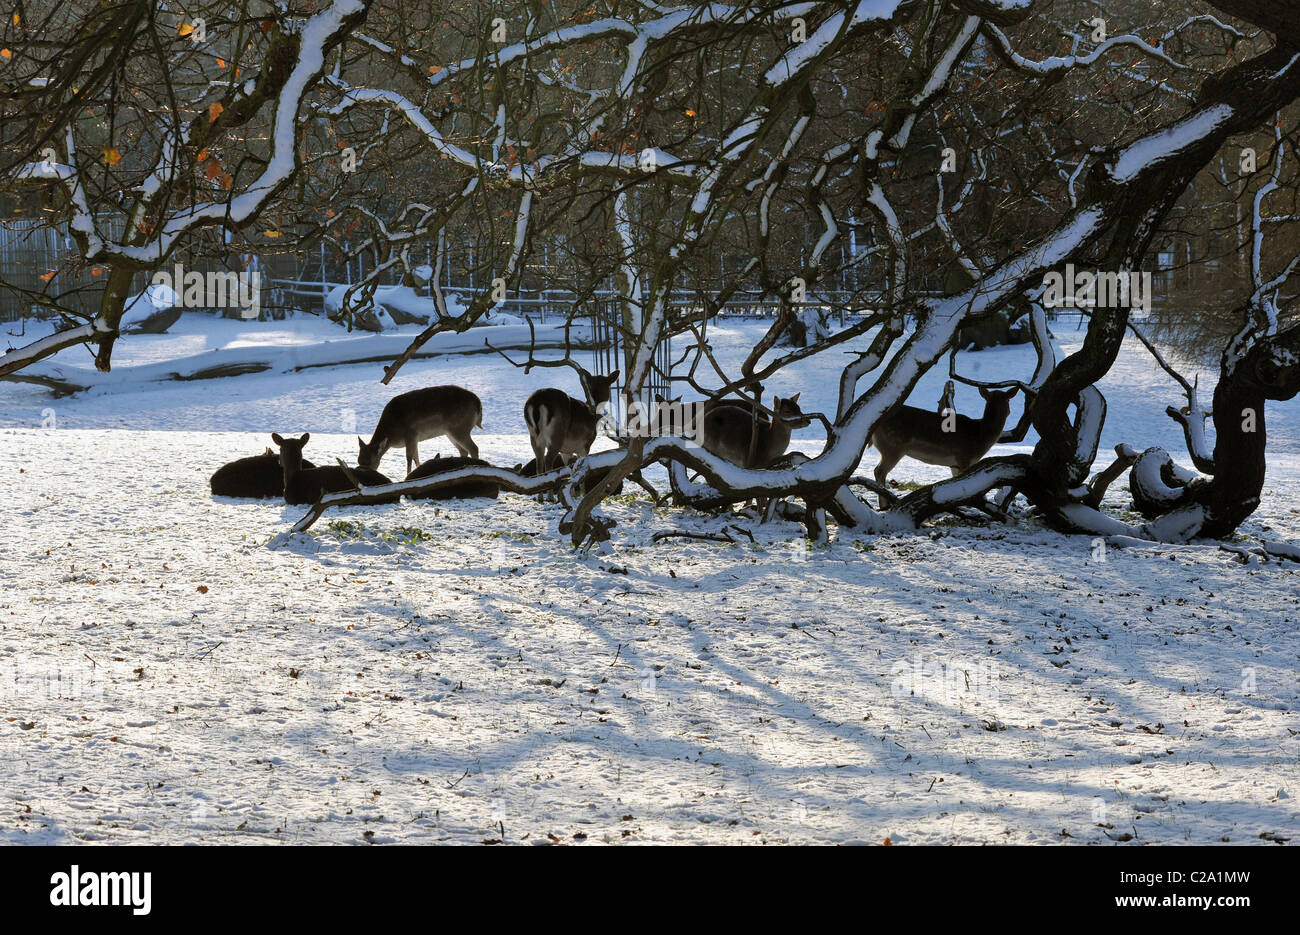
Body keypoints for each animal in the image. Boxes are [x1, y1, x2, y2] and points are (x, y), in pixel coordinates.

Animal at [869, 386, 1018, 485]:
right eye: (1009, 400)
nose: (1010, 411)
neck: (980, 436)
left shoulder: (954, 465)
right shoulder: (963, 457)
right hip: (892, 447)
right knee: (879, 471)